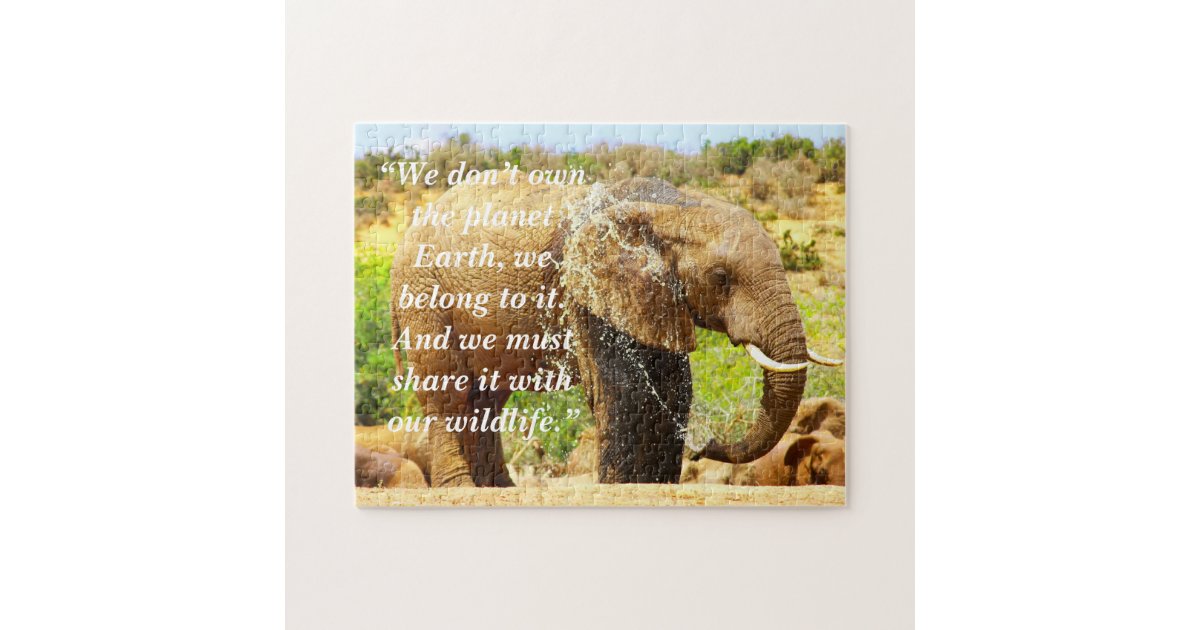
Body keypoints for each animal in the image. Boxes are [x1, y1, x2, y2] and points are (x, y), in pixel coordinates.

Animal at [391, 175, 842, 487]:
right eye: (721, 278)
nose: (704, 448)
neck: (673, 205)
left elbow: (673, 388)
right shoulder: (588, 290)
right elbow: (625, 390)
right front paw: (622, 485)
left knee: (487, 399)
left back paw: (499, 489)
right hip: (424, 293)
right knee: (449, 392)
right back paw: (463, 487)